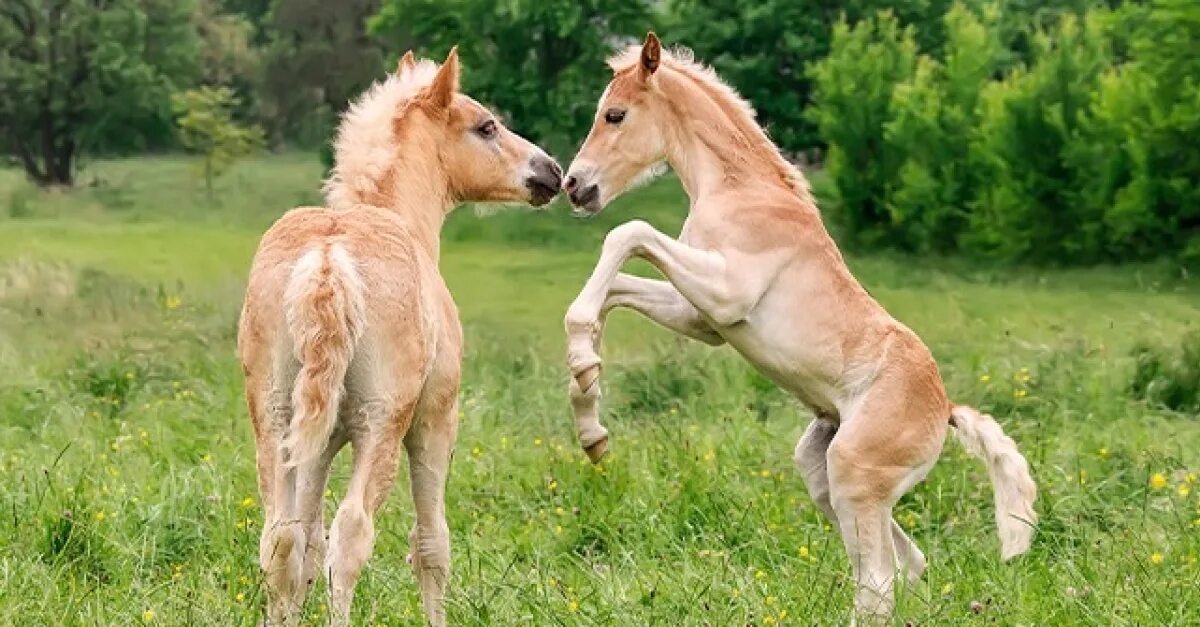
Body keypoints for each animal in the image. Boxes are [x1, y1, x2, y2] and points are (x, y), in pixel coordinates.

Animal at [241, 50, 564, 624]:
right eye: (486, 126)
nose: (551, 171)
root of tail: (328, 260)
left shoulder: (318, 445)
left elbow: (305, 546)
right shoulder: (436, 421)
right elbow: (431, 544)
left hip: (276, 420)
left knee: (281, 540)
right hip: (382, 424)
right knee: (351, 535)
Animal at [561, 35, 1041, 619]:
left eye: (615, 114)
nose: (574, 185)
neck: (741, 189)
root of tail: (946, 408)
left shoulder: (726, 293)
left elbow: (627, 234)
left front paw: (585, 376)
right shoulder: (705, 317)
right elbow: (616, 288)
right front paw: (588, 405)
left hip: (854, 474)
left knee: (878, 585)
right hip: (825, 473)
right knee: (907, 564)